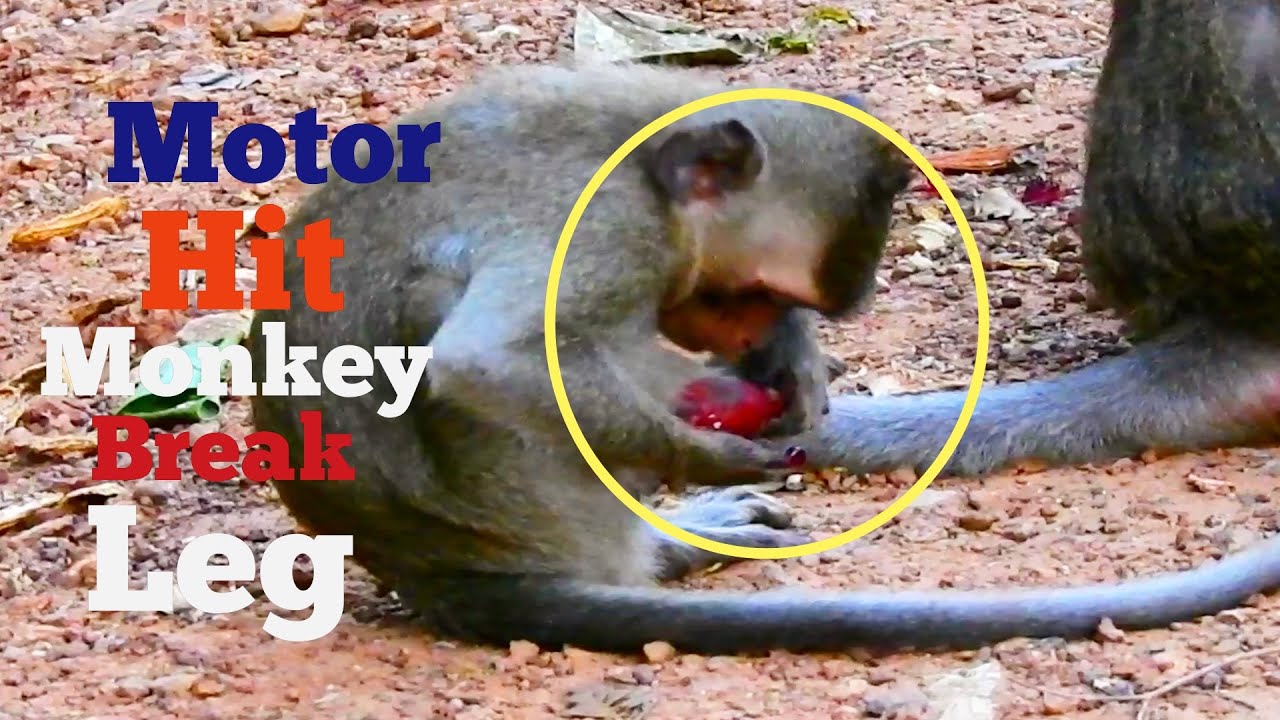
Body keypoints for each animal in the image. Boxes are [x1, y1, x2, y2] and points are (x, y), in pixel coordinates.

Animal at [248, 57, 1280, 657]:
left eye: (777, 303)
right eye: (742, 291)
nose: (754, 338)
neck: (646, 139)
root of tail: (430, 574)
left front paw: (796, 374)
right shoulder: (611, 231)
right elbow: (485, 363)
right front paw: (715, 452)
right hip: (527, 506)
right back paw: (657, 541)